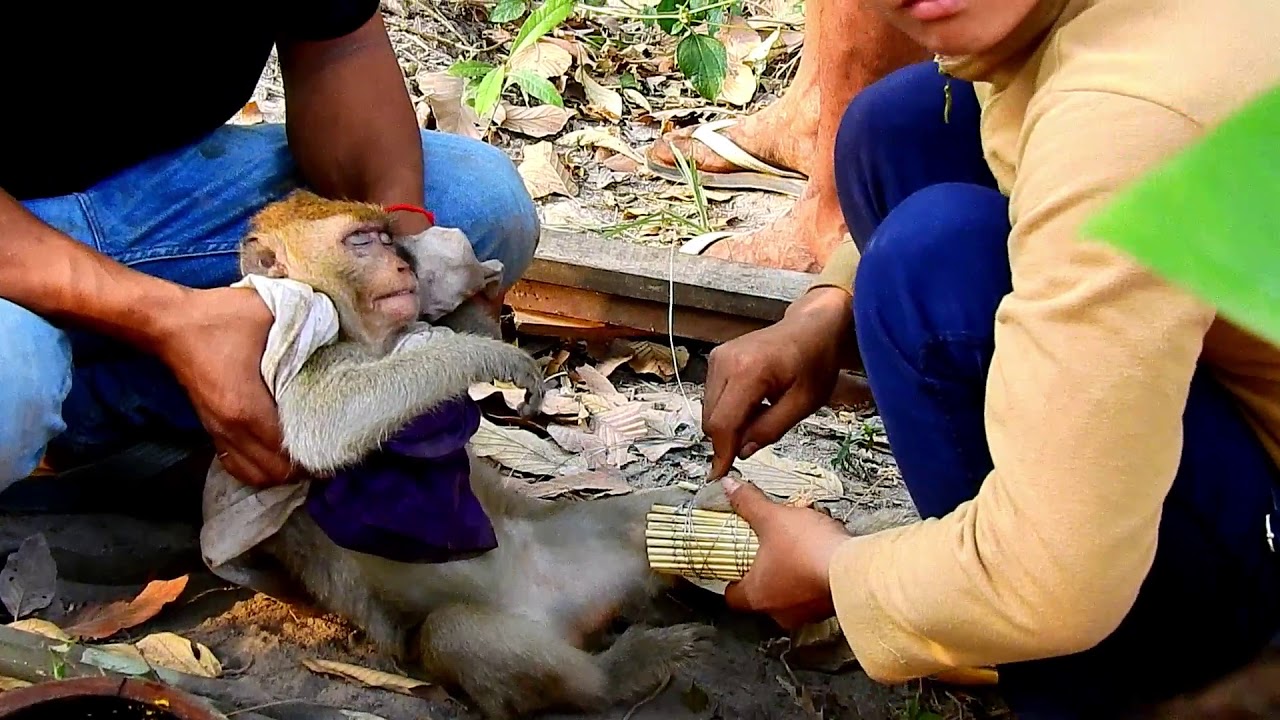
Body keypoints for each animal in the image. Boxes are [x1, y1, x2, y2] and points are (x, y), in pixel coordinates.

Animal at [214, 190, 717, 720]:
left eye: (388, 239)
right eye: (360, 242)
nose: (401, 265)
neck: (371, 340)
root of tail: (567, 617)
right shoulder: (304, 352)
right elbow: (320, 425)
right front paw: (486, 355)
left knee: (645, 517)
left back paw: (710, 509)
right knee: (453, 633)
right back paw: (620, 671)